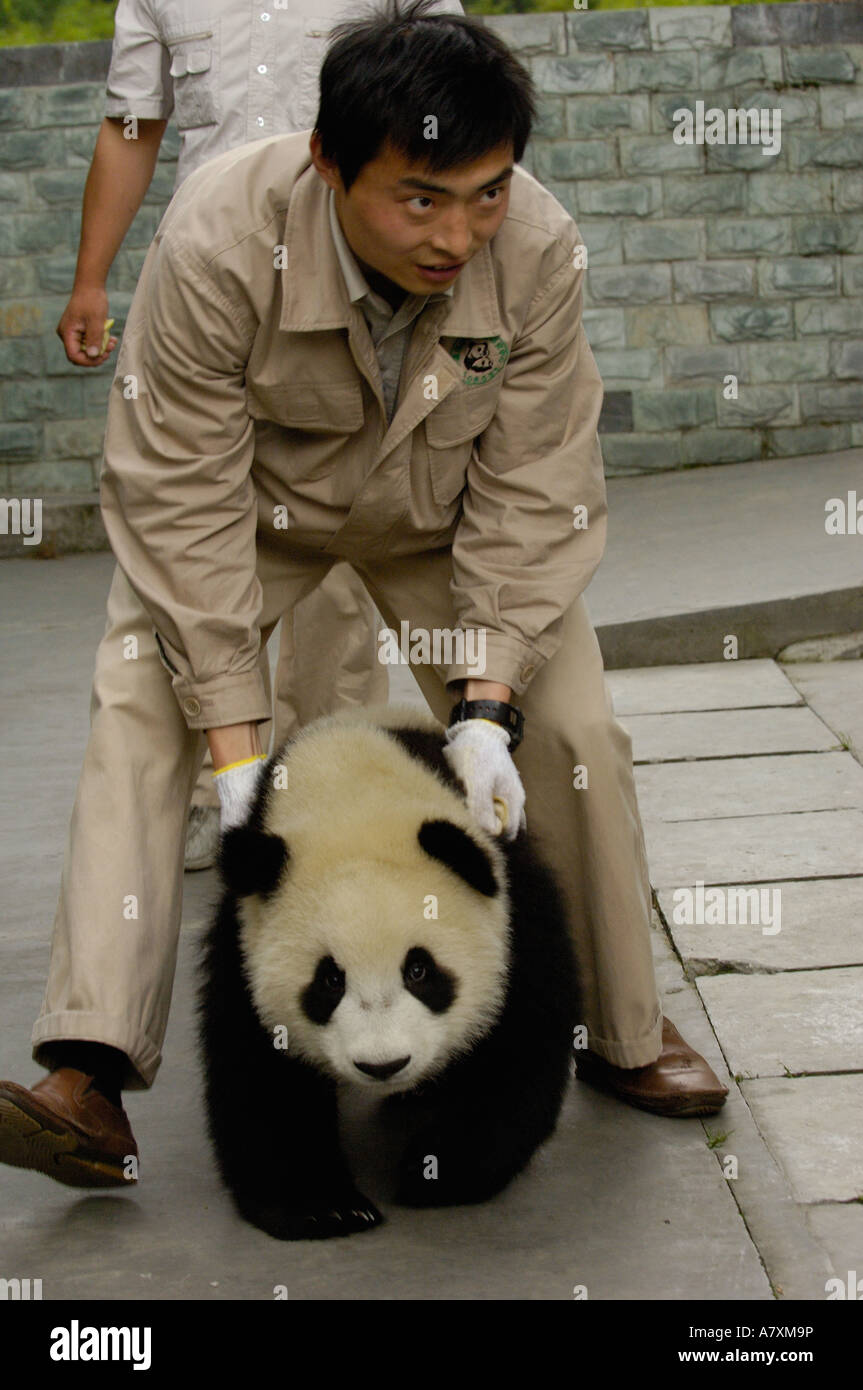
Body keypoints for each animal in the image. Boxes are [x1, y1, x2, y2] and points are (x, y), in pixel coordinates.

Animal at [198, 701, 579, 1241]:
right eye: (329, 981)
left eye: (420, 971)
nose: (383, 1066)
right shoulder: (245, 934)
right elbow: (259, 1072)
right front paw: (324, 1208)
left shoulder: (512, 902)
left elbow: (518, 1042)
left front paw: (439, 1171)